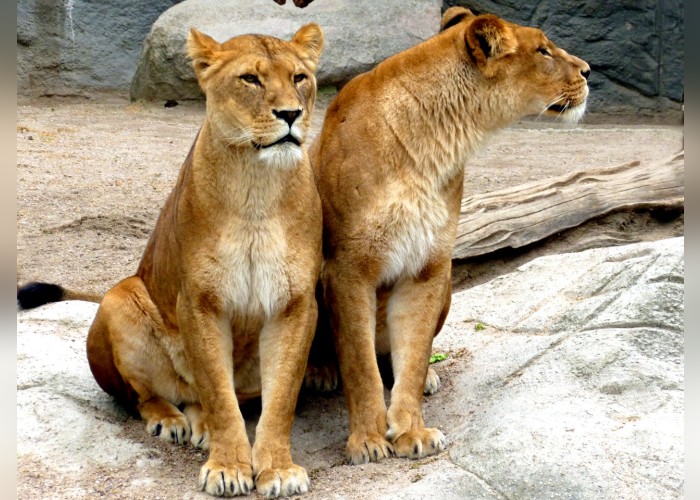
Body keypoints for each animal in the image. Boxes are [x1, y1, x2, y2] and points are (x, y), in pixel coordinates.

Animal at [18, 24, 324, 498]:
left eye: (299, 78)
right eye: (250, 79)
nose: (290, 114)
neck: (257, 186)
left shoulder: (295, 304)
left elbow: (281, 396)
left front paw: (277, 469)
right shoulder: (199, 301)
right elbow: (217, 392)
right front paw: (228, 467)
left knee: (214, 396)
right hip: (121, 296)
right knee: (146, 396)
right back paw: (173, 421)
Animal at [307, 7, 590, 465]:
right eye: (543, 50)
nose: (588, 70)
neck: (435, 142)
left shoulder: (428, 267)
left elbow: (414, 351)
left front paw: (411, 430)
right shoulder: (348, 269)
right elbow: (359, 365)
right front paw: (367, 440)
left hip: (448, 288)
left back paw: (427, 378)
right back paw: (318, 372)